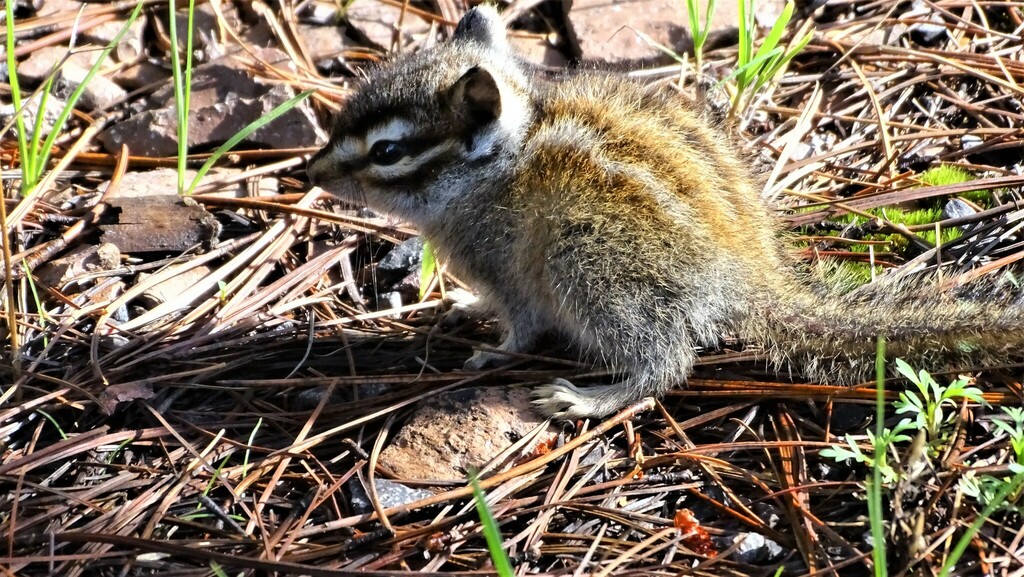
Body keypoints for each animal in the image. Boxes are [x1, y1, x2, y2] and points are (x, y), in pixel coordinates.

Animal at [307, 6, 1024, 419]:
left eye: (387, 151)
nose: (310, 173)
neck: (500, 161)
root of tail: (749, 280)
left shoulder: (510, 269)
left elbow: (523, 328)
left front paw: (494, 352)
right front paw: (460, 305)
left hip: (584, 259)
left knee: (667, 362)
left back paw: (594, 399)